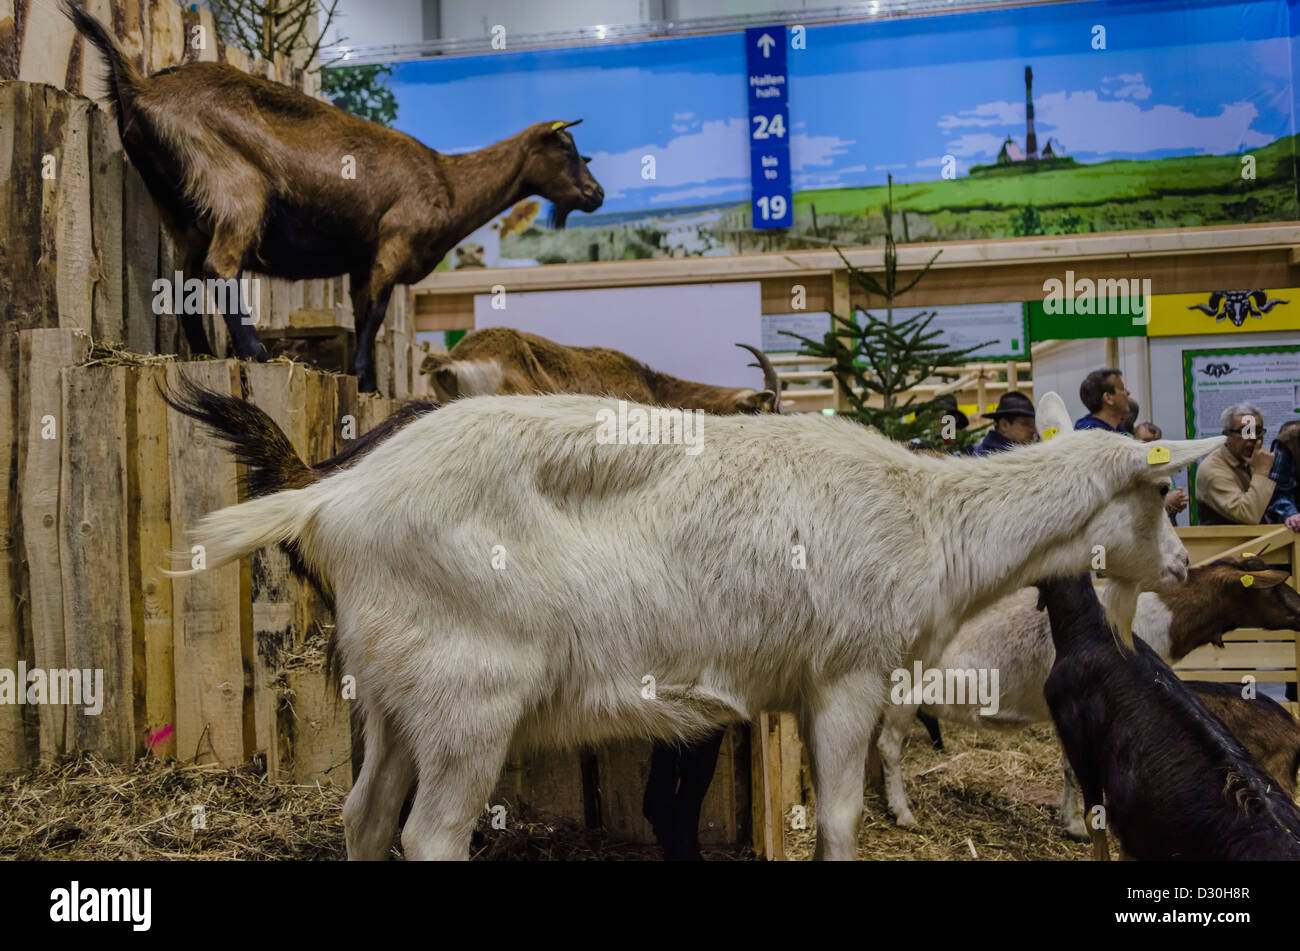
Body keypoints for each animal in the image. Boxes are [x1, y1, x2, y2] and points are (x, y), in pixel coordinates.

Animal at [67, 5, 603, 394]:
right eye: (567, 147)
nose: (595, 194)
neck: (447, 179)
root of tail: (139, 86)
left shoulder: (362, 261)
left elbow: (364, 312)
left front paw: (363, 378)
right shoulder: (392, 247)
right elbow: (374, 317)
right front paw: (367, 383)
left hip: (182, 214)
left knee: (184, 282)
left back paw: (202, 354)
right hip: (236, 193)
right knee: (220, 268)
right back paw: (256, 354)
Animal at [165, 390, 1217, 860]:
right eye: (1163, 490)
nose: (1183, 569)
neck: (932, 516)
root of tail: (332, 497)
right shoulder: (849, 675)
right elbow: (841, 816)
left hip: (395, 689)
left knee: (367, 813)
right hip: (470, 696)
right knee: (430, 835)